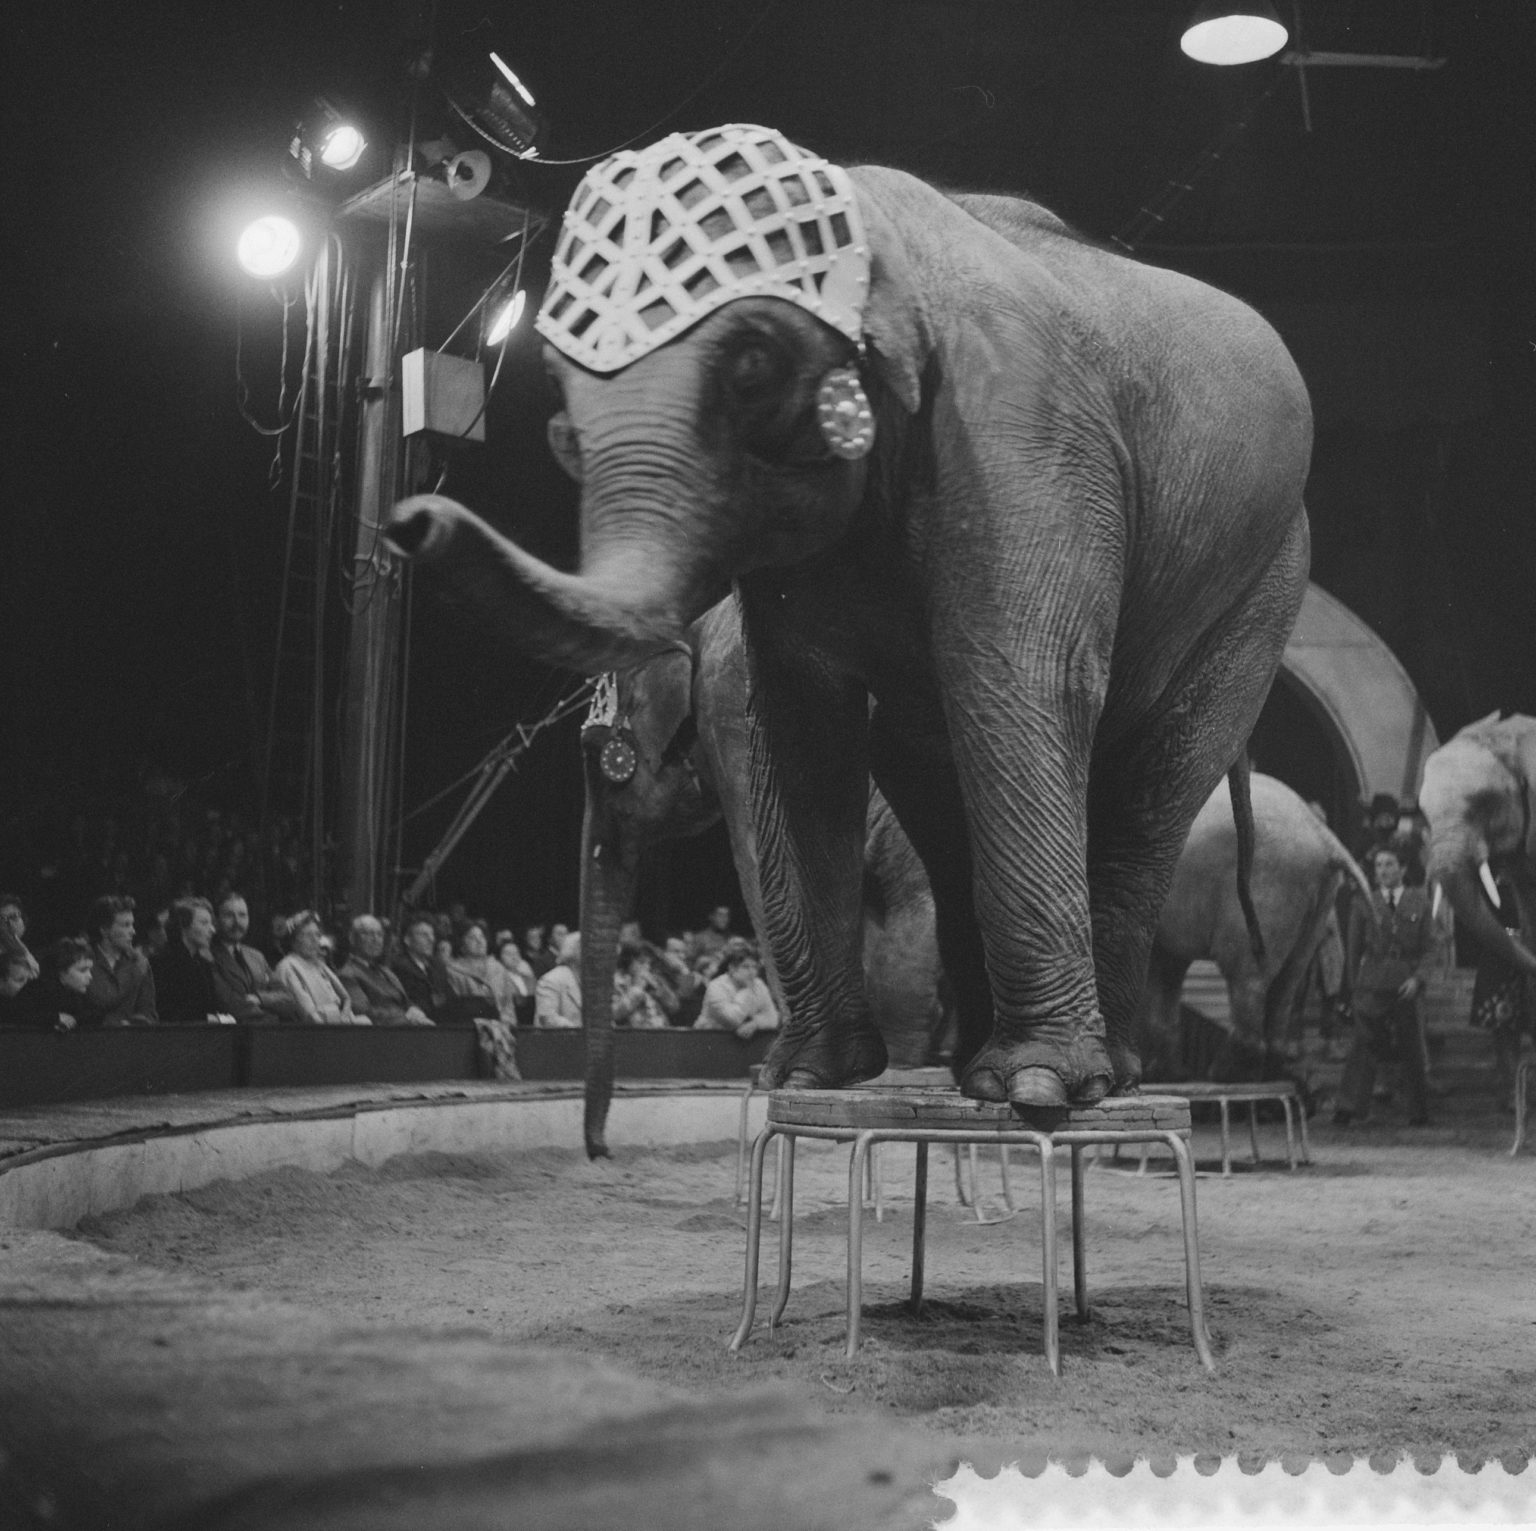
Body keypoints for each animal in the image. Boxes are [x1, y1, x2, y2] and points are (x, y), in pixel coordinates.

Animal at [578, 597, 945, 1158]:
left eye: (597, 758)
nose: (601, 1151)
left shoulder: (732, 702)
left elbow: (759, 856)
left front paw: (785, 1074)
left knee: (914, 920)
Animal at [1141, 773, 1373, 1084]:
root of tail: (1323, 837)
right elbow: (1166, 966)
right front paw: (1165, 1074)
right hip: (1317, 897)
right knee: (1288, 980)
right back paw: (1269, 1070)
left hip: (1265, 887)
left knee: (1248, 974)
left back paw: (1224, 1074)